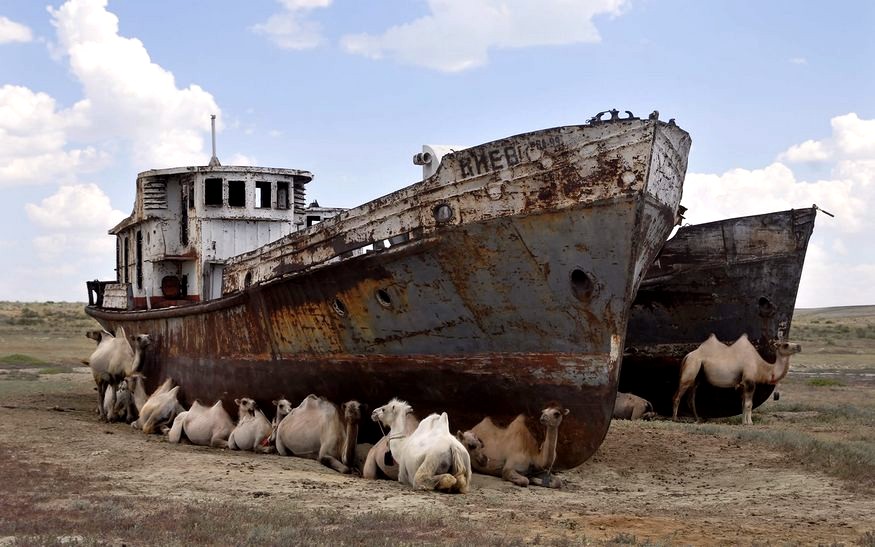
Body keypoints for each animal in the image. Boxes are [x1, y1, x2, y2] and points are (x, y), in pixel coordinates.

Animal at [672, 333, 802, 425]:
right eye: (786, 344)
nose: (799, 346)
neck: (760, 366)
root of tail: (687, 356)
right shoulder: (749, 381)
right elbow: (749, 404)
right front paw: (749, 423)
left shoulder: (743, 384)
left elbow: (744, 403)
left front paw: (744, 422)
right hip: (691, 369)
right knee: (677, 396)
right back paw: (675, 419)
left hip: (697, 376)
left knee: (691, 398)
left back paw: (697, 419)